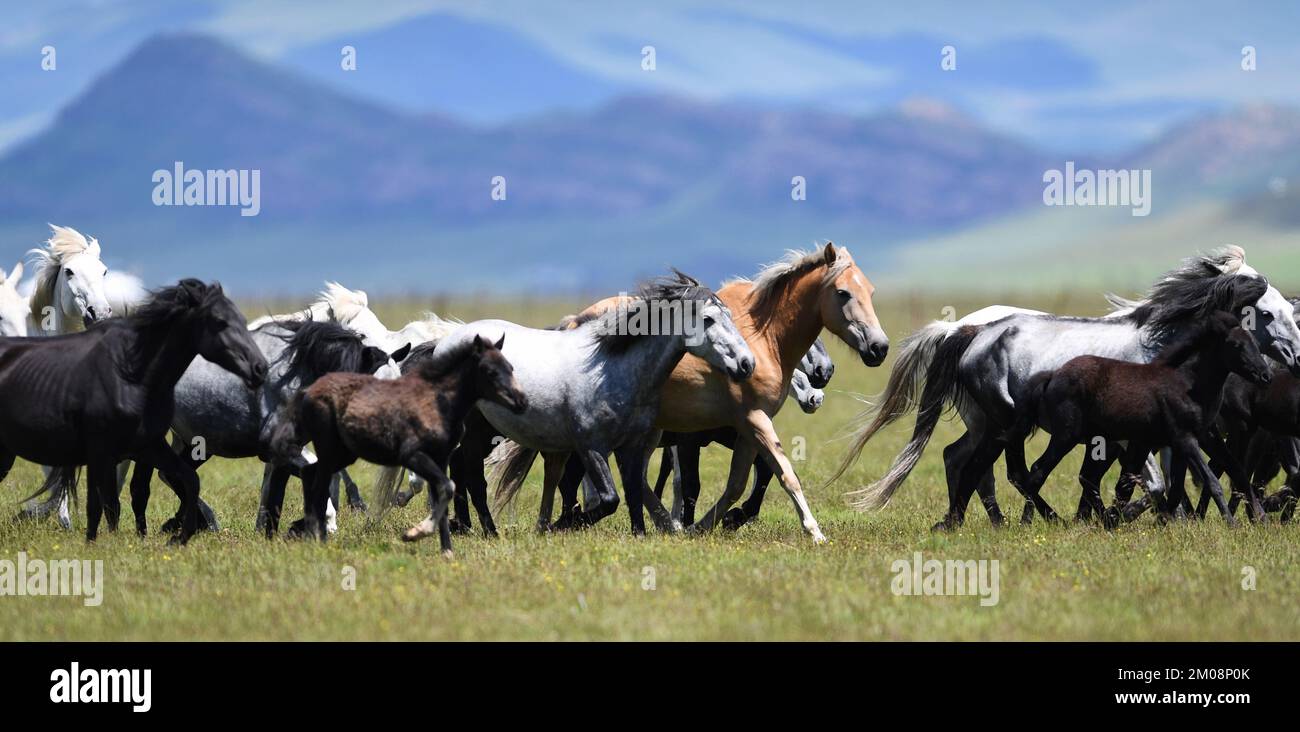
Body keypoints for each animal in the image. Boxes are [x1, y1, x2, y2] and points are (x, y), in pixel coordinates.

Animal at [0, 279, 267, 545]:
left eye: (242, 320)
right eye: (219, 321)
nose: (260, 367)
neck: (132, 374)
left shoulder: (147, 446)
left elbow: (186, 480)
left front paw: (180, 536)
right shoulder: (100, 451)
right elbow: (99, 505)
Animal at [269, 334, 527, 555]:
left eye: (511, 368)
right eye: (490, 372)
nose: (522, 401)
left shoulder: (440, 456)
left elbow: (443, 490)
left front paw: (442, 544)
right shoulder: (416, 454)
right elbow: (441, 487)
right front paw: (417, 529)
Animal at [496, 243, 889, 543]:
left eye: (871, 292)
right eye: (843, 293)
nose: (879, 348)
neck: (763, 340)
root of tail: (573, 322)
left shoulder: (742, 429)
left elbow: (738, 483)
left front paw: (710, 523)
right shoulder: (748, 421)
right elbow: (782, 473)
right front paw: (814, 532)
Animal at [1004, 310, 1272, 526]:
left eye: (1255, 343)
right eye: (1236, 345)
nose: (1266, 375)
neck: (1187, 384)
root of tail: (1052, 375)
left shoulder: (1189, 440)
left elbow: (1183, 485)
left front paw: (1163, 520)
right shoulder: (1185, 438)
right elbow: (1211, 481)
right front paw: (1231, 523)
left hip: (1095, 439)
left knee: (1084, 478)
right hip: (1066, 436)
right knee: (1038, 471)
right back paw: (1030, 521)